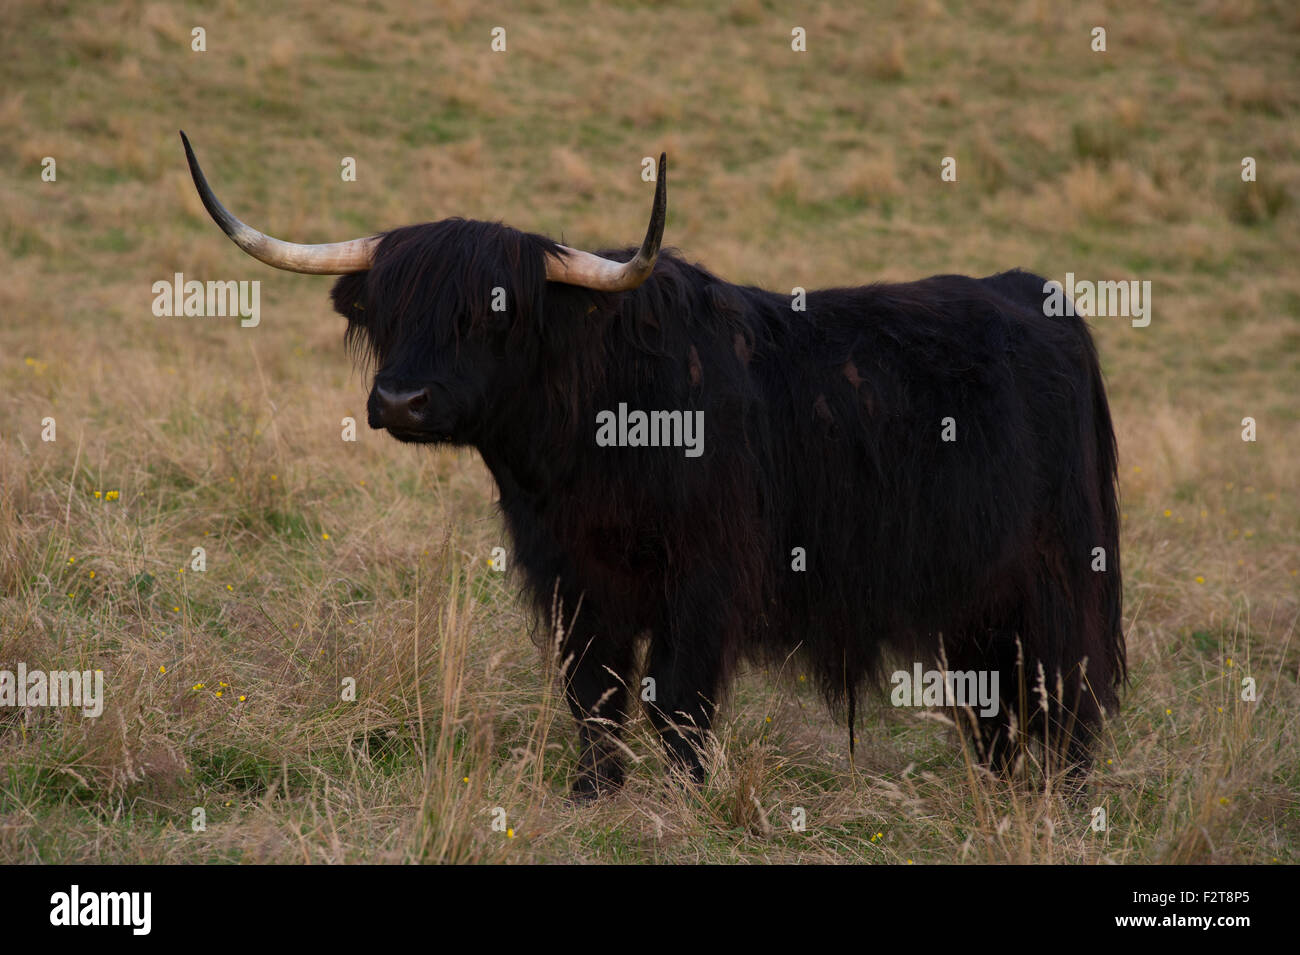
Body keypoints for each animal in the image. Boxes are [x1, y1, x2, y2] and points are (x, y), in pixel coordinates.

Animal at [181, 132, 1125, 798]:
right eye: (387, 309)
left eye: (493, 311)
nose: (401, 400)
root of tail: (1029, 290)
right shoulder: (569, 576)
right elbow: (594, 689)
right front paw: (595, 792)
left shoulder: (704, 574)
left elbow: (676, 695)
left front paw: (680, 796)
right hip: (976, 597)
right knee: (996, 703)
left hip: (1059, 574)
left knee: (1067, 690)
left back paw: (1062, 803)